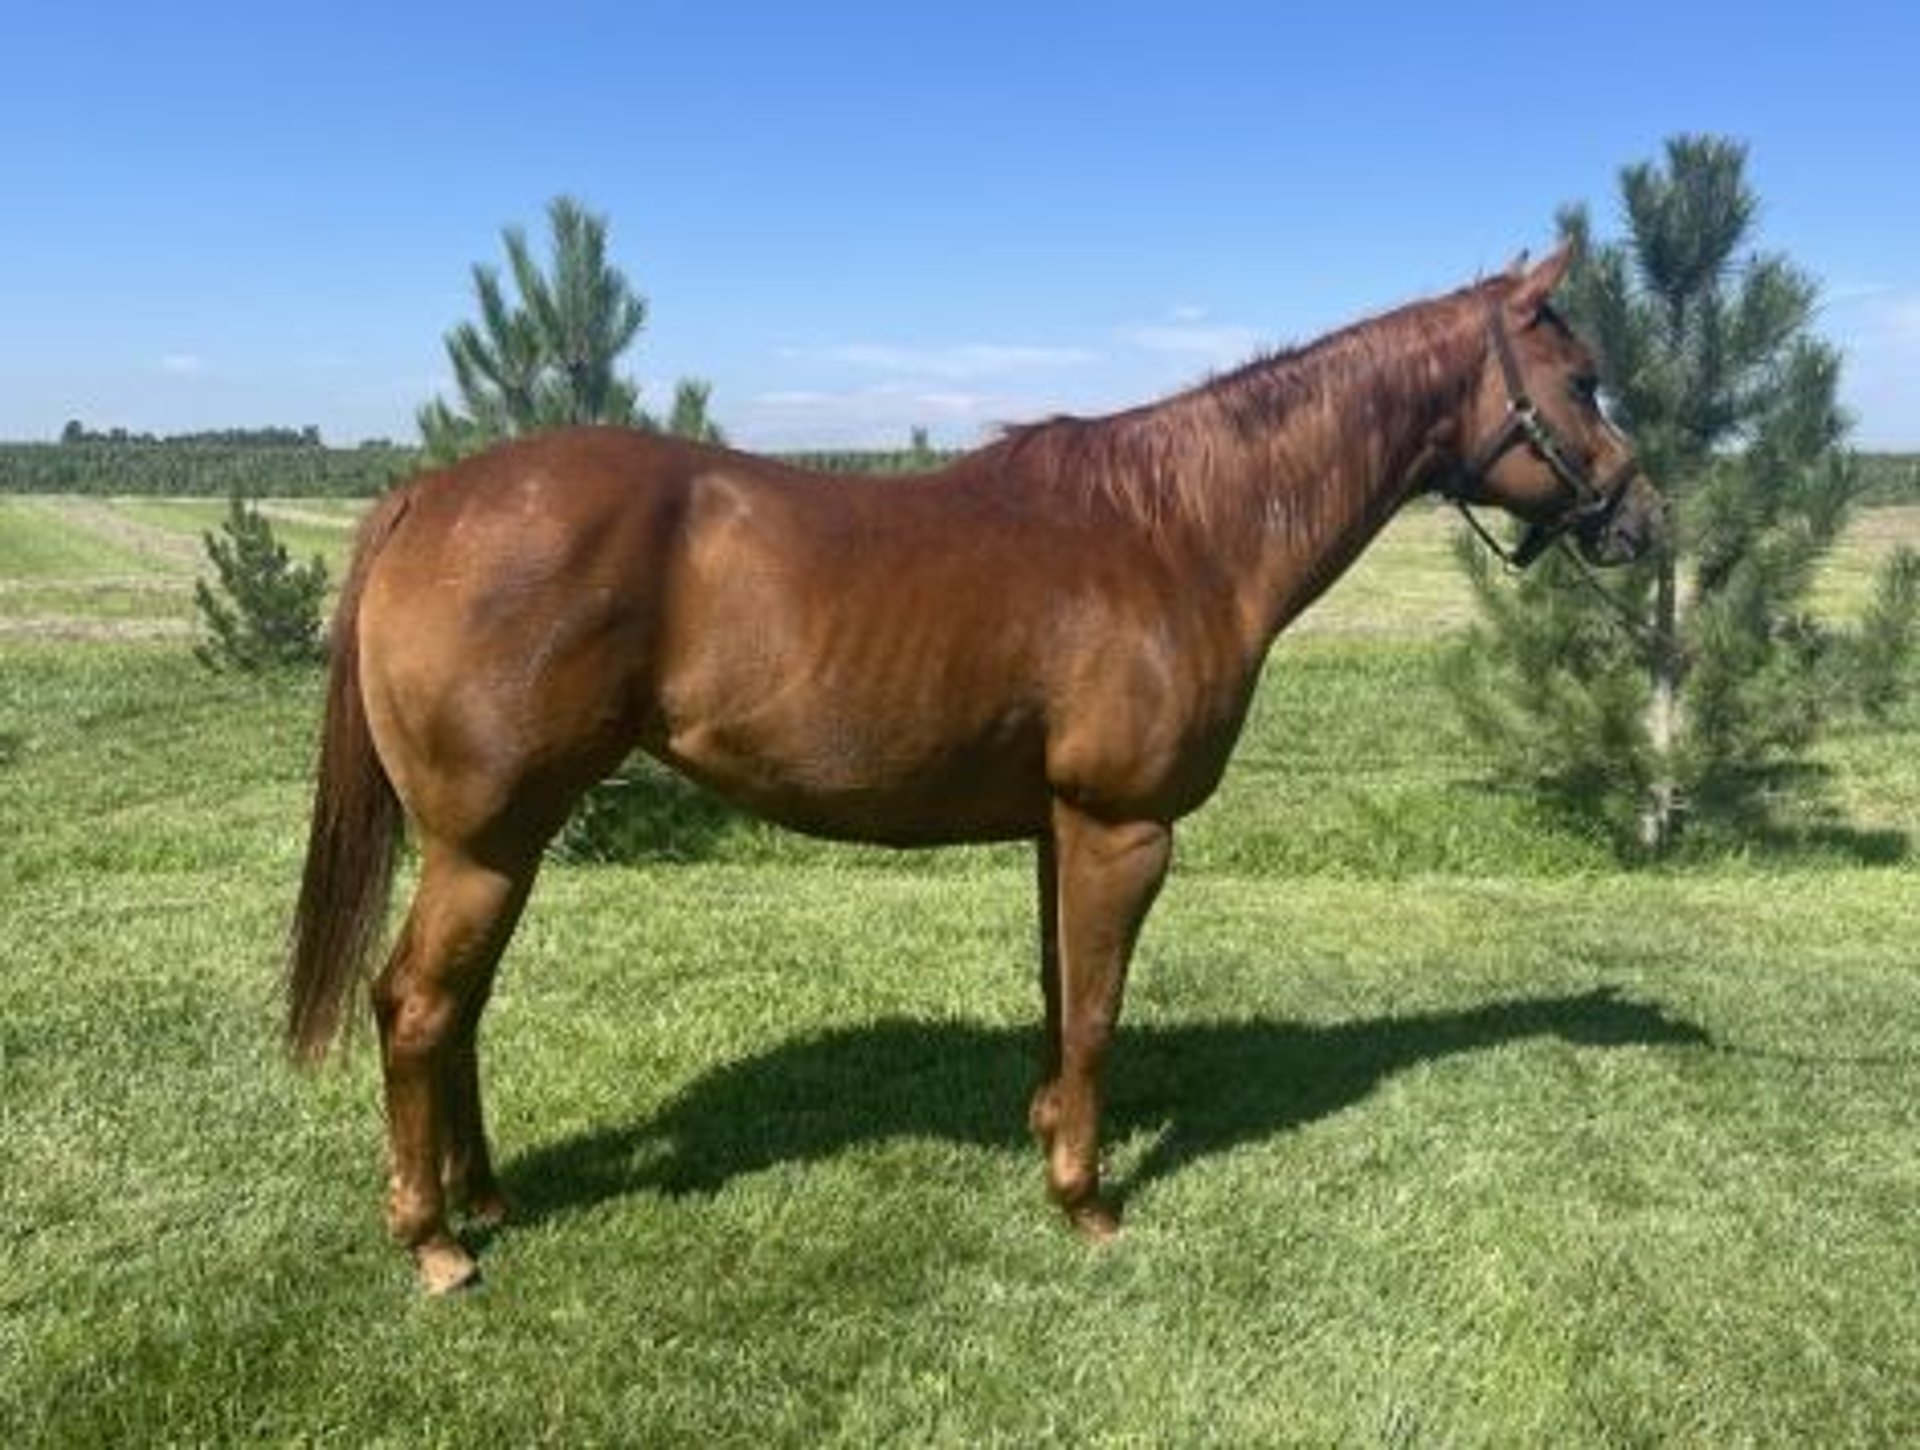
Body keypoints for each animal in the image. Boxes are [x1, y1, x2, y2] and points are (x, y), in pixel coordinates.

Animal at [288, 245, 1661, 1293]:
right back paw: (435, 1241)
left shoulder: (1060, 830)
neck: (1178, 532)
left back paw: (486, 1197)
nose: (1645, 521)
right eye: (1583, 381)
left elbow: (1059, 994)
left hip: (503, 842)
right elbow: (1099, 1010)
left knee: (457, 1008)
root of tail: (424, 495)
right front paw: (1086, 1199)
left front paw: (1049, 1135)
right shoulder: (1122, 827)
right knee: (417, 1007)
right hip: (486, 843)